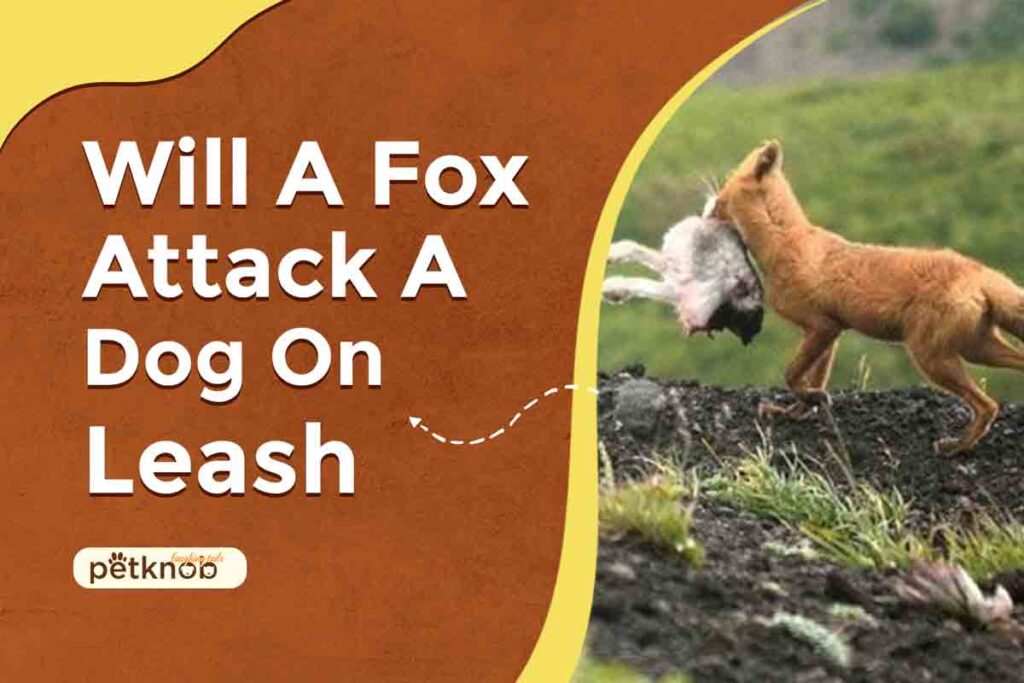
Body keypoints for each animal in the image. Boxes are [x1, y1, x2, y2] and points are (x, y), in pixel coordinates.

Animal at [711, 140, 1024, 454]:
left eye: (720, 198)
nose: (707, 214)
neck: (785, 244)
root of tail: (980, 272)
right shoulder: (828, 333)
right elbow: (814, 378)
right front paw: (799, 410)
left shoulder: (823, 327)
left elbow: (792, 376)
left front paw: (811, 399)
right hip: (976, 348)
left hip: (932, 356)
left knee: (987, 406)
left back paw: (956, 446)